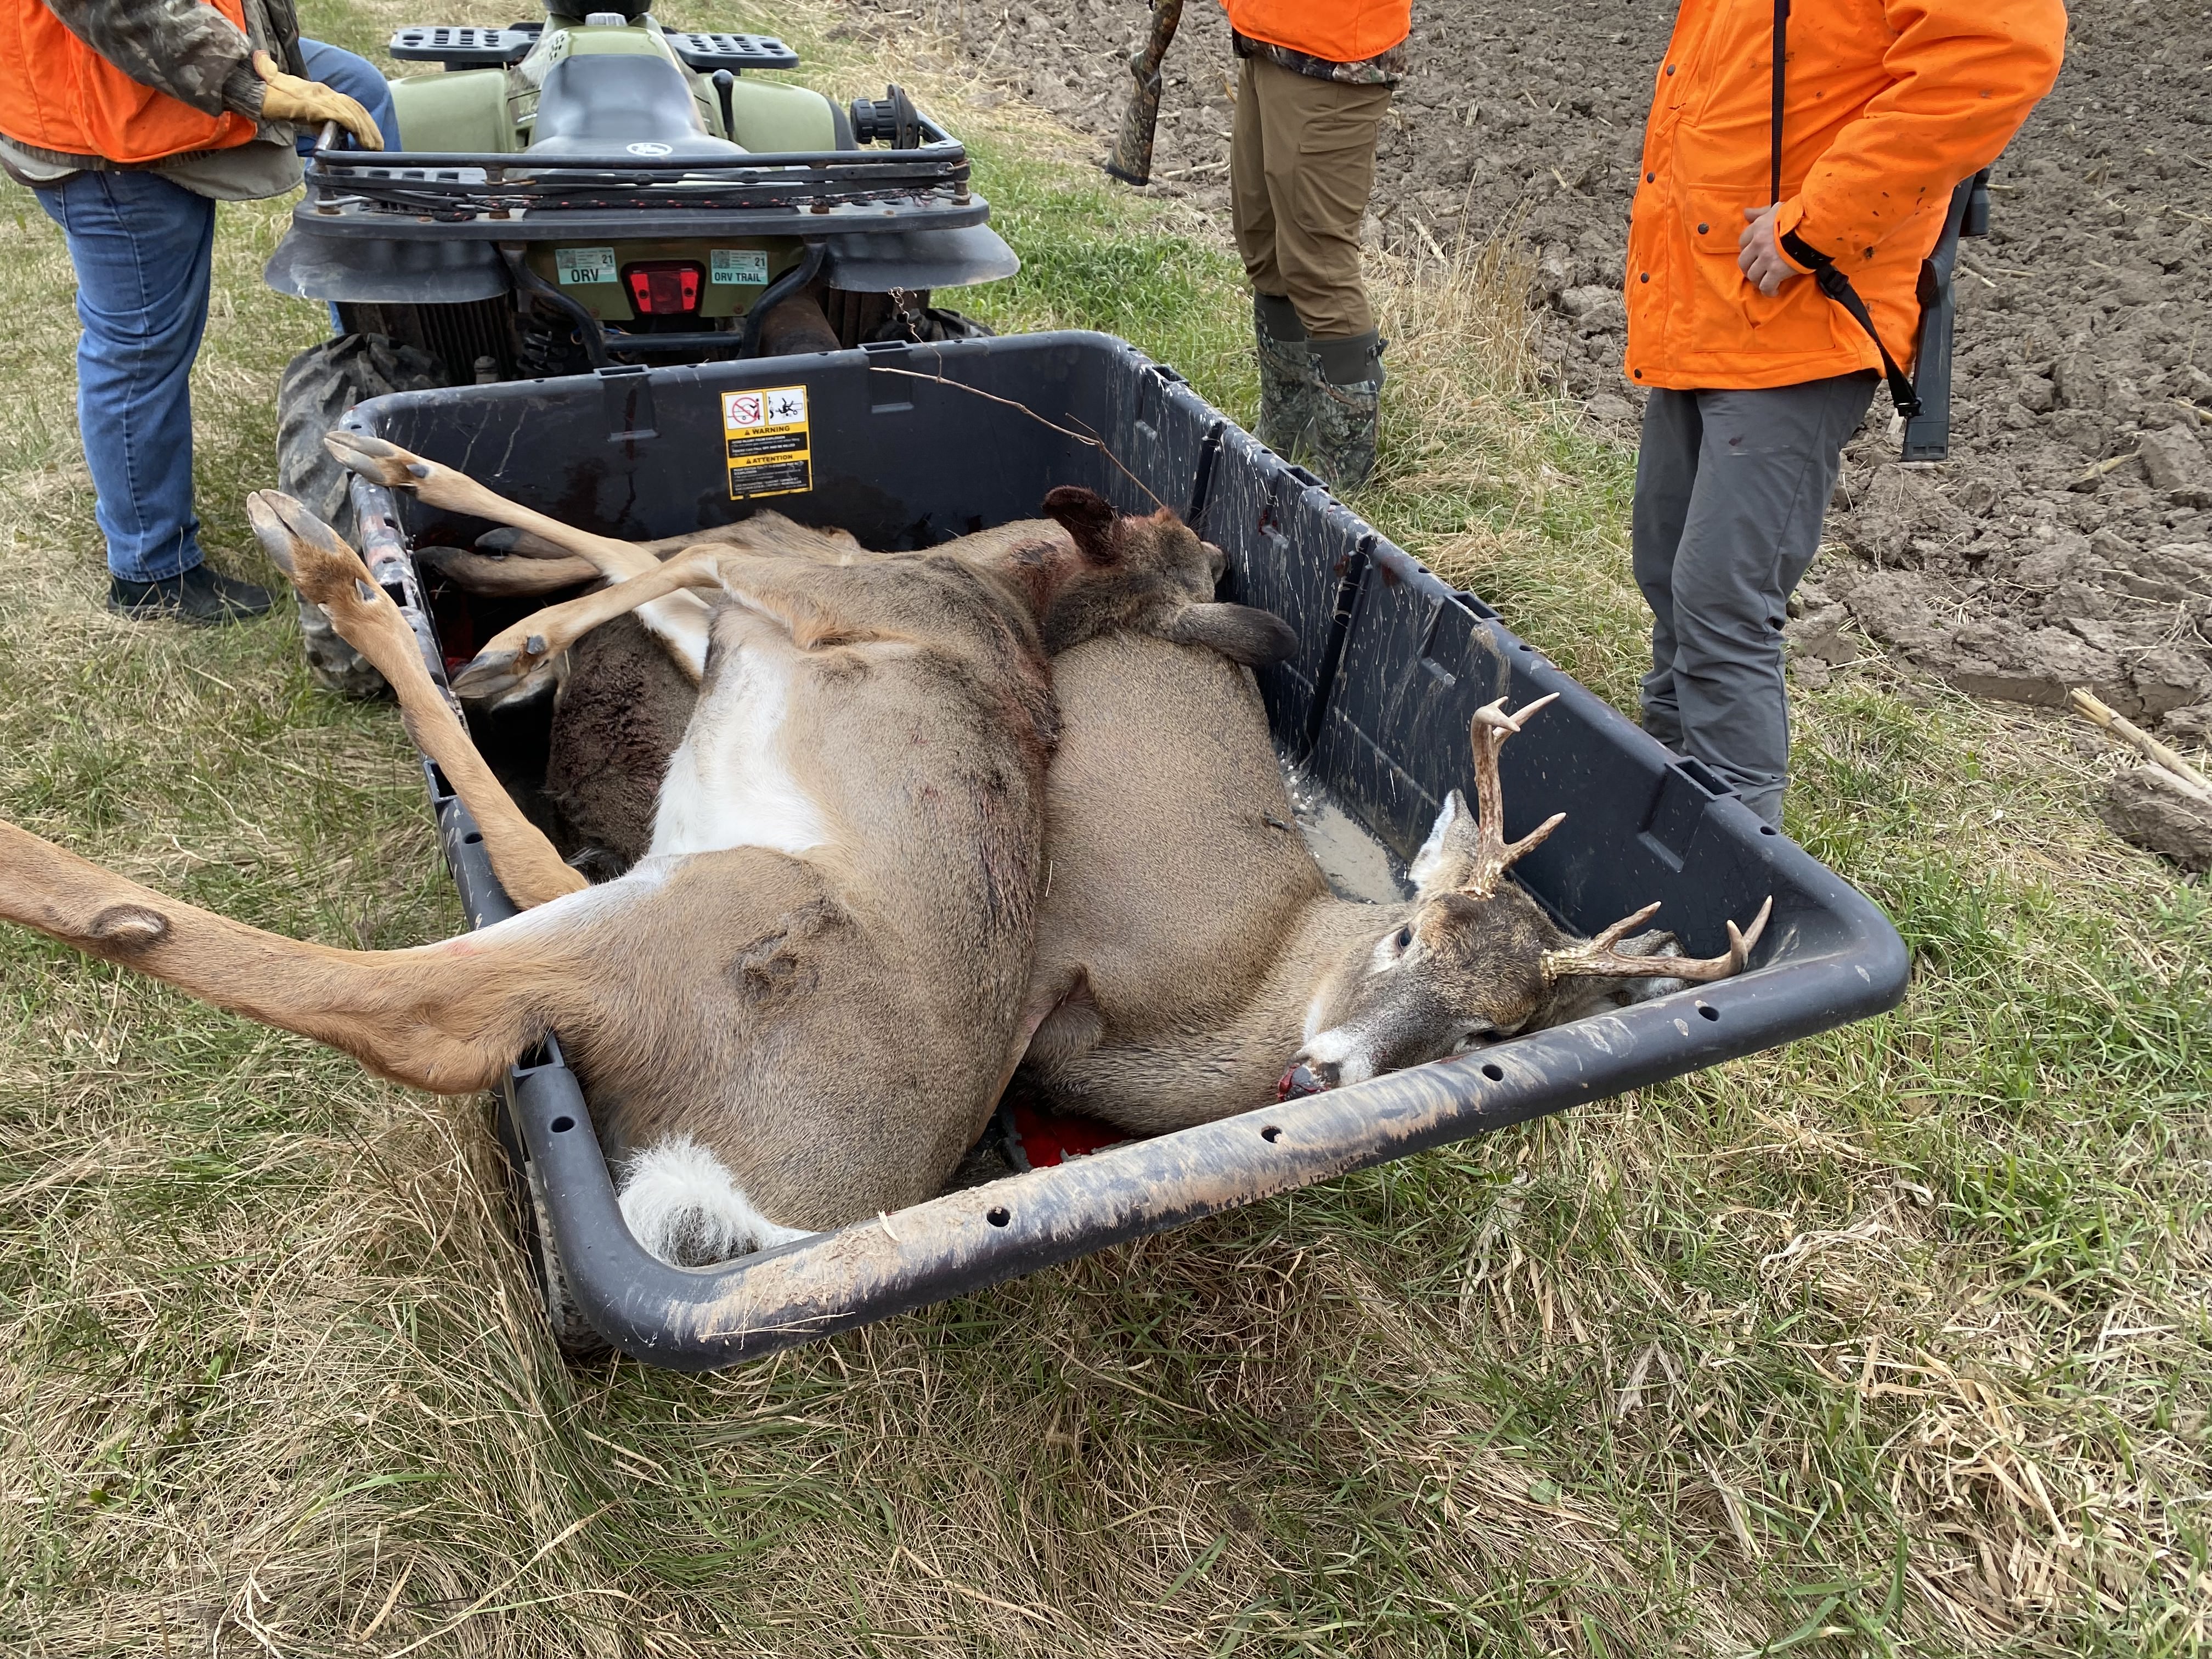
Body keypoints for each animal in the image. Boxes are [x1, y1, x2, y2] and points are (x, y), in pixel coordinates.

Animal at [0, 459, 1286, 1270]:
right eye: (1191, 538)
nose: (1219, 539)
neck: (990, 583)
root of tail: (743, 1211)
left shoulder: (800, 588)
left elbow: (682, 547)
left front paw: (498, 619)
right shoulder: (750, 616)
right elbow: (651, 560)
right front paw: (480, 575)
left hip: (704, 911)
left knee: (411, 1007)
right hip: (664, 876)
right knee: (526, 872)